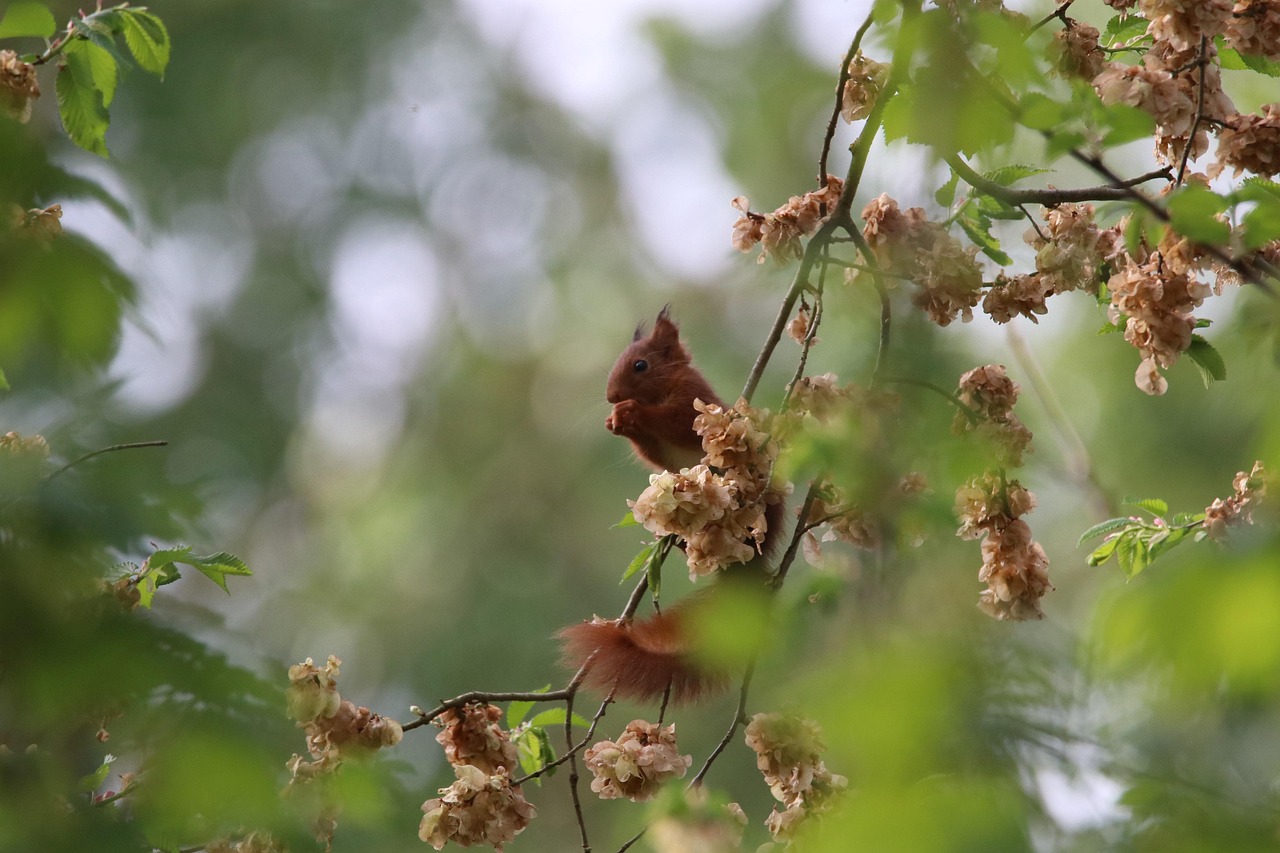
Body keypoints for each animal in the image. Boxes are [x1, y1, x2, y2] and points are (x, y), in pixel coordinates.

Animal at [559, 307, 774, 704]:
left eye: (640, 365)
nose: (611, 396)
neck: (663, 387)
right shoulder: (660, 450)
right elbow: (652, 450)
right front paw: (615, 422)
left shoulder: (692, 398)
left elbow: (676, 422)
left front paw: (631, 411)